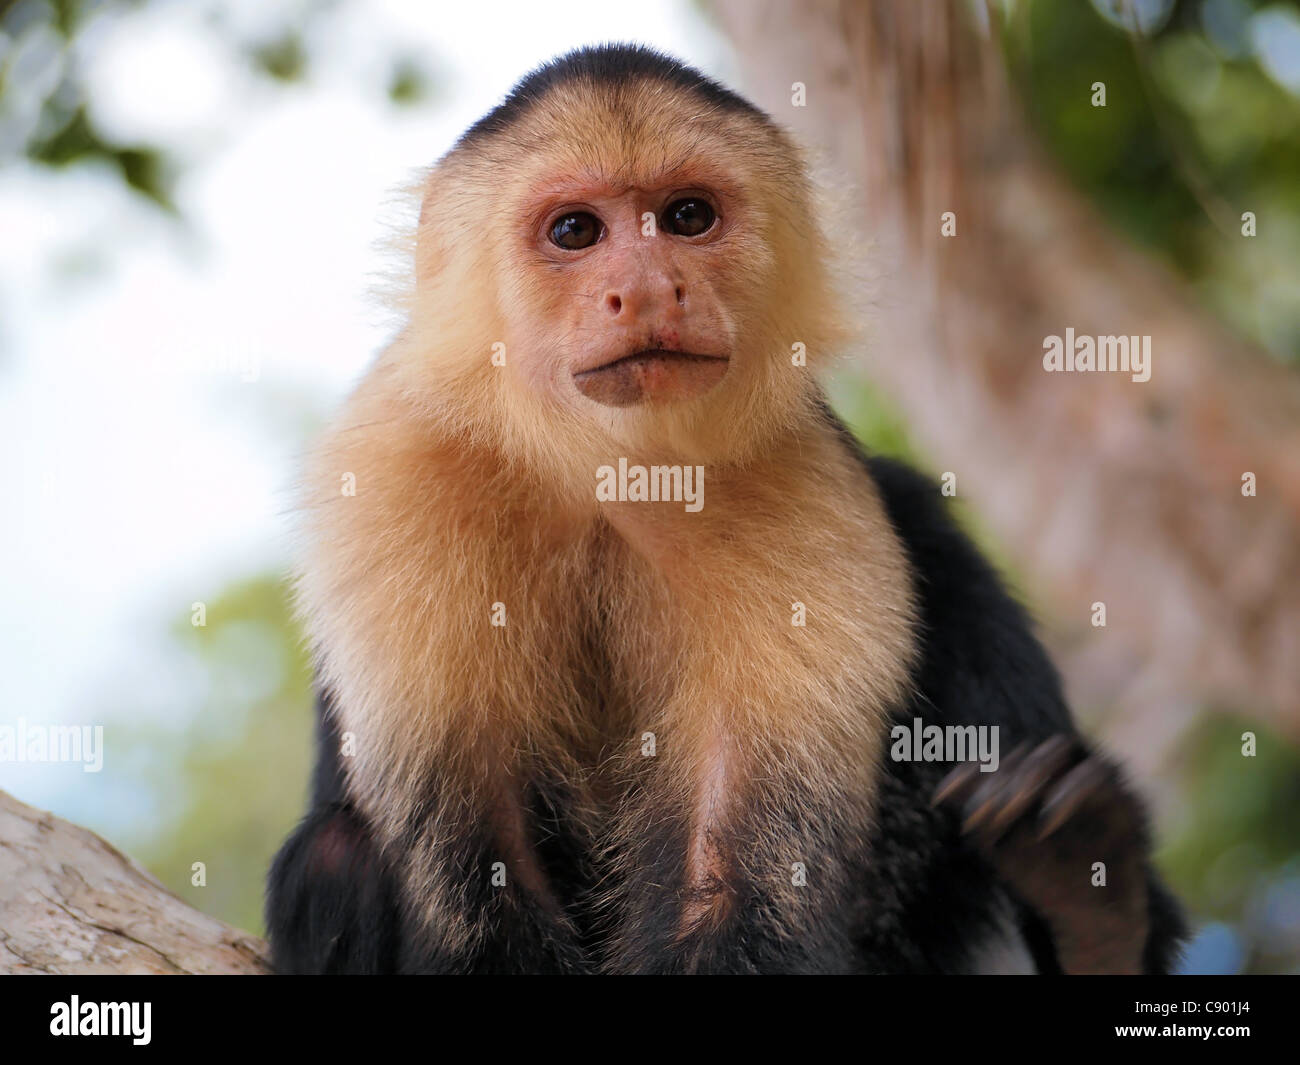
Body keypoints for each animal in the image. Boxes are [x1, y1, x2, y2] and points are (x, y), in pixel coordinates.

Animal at [266, 43, 1190, 972]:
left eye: (687, 216)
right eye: (576, 232)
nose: (647, 288)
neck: (606, 471)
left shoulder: (800, 474)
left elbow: (740, 874)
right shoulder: (394, 464)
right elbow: (479, 869)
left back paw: (1090, 898)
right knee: (336, 853)